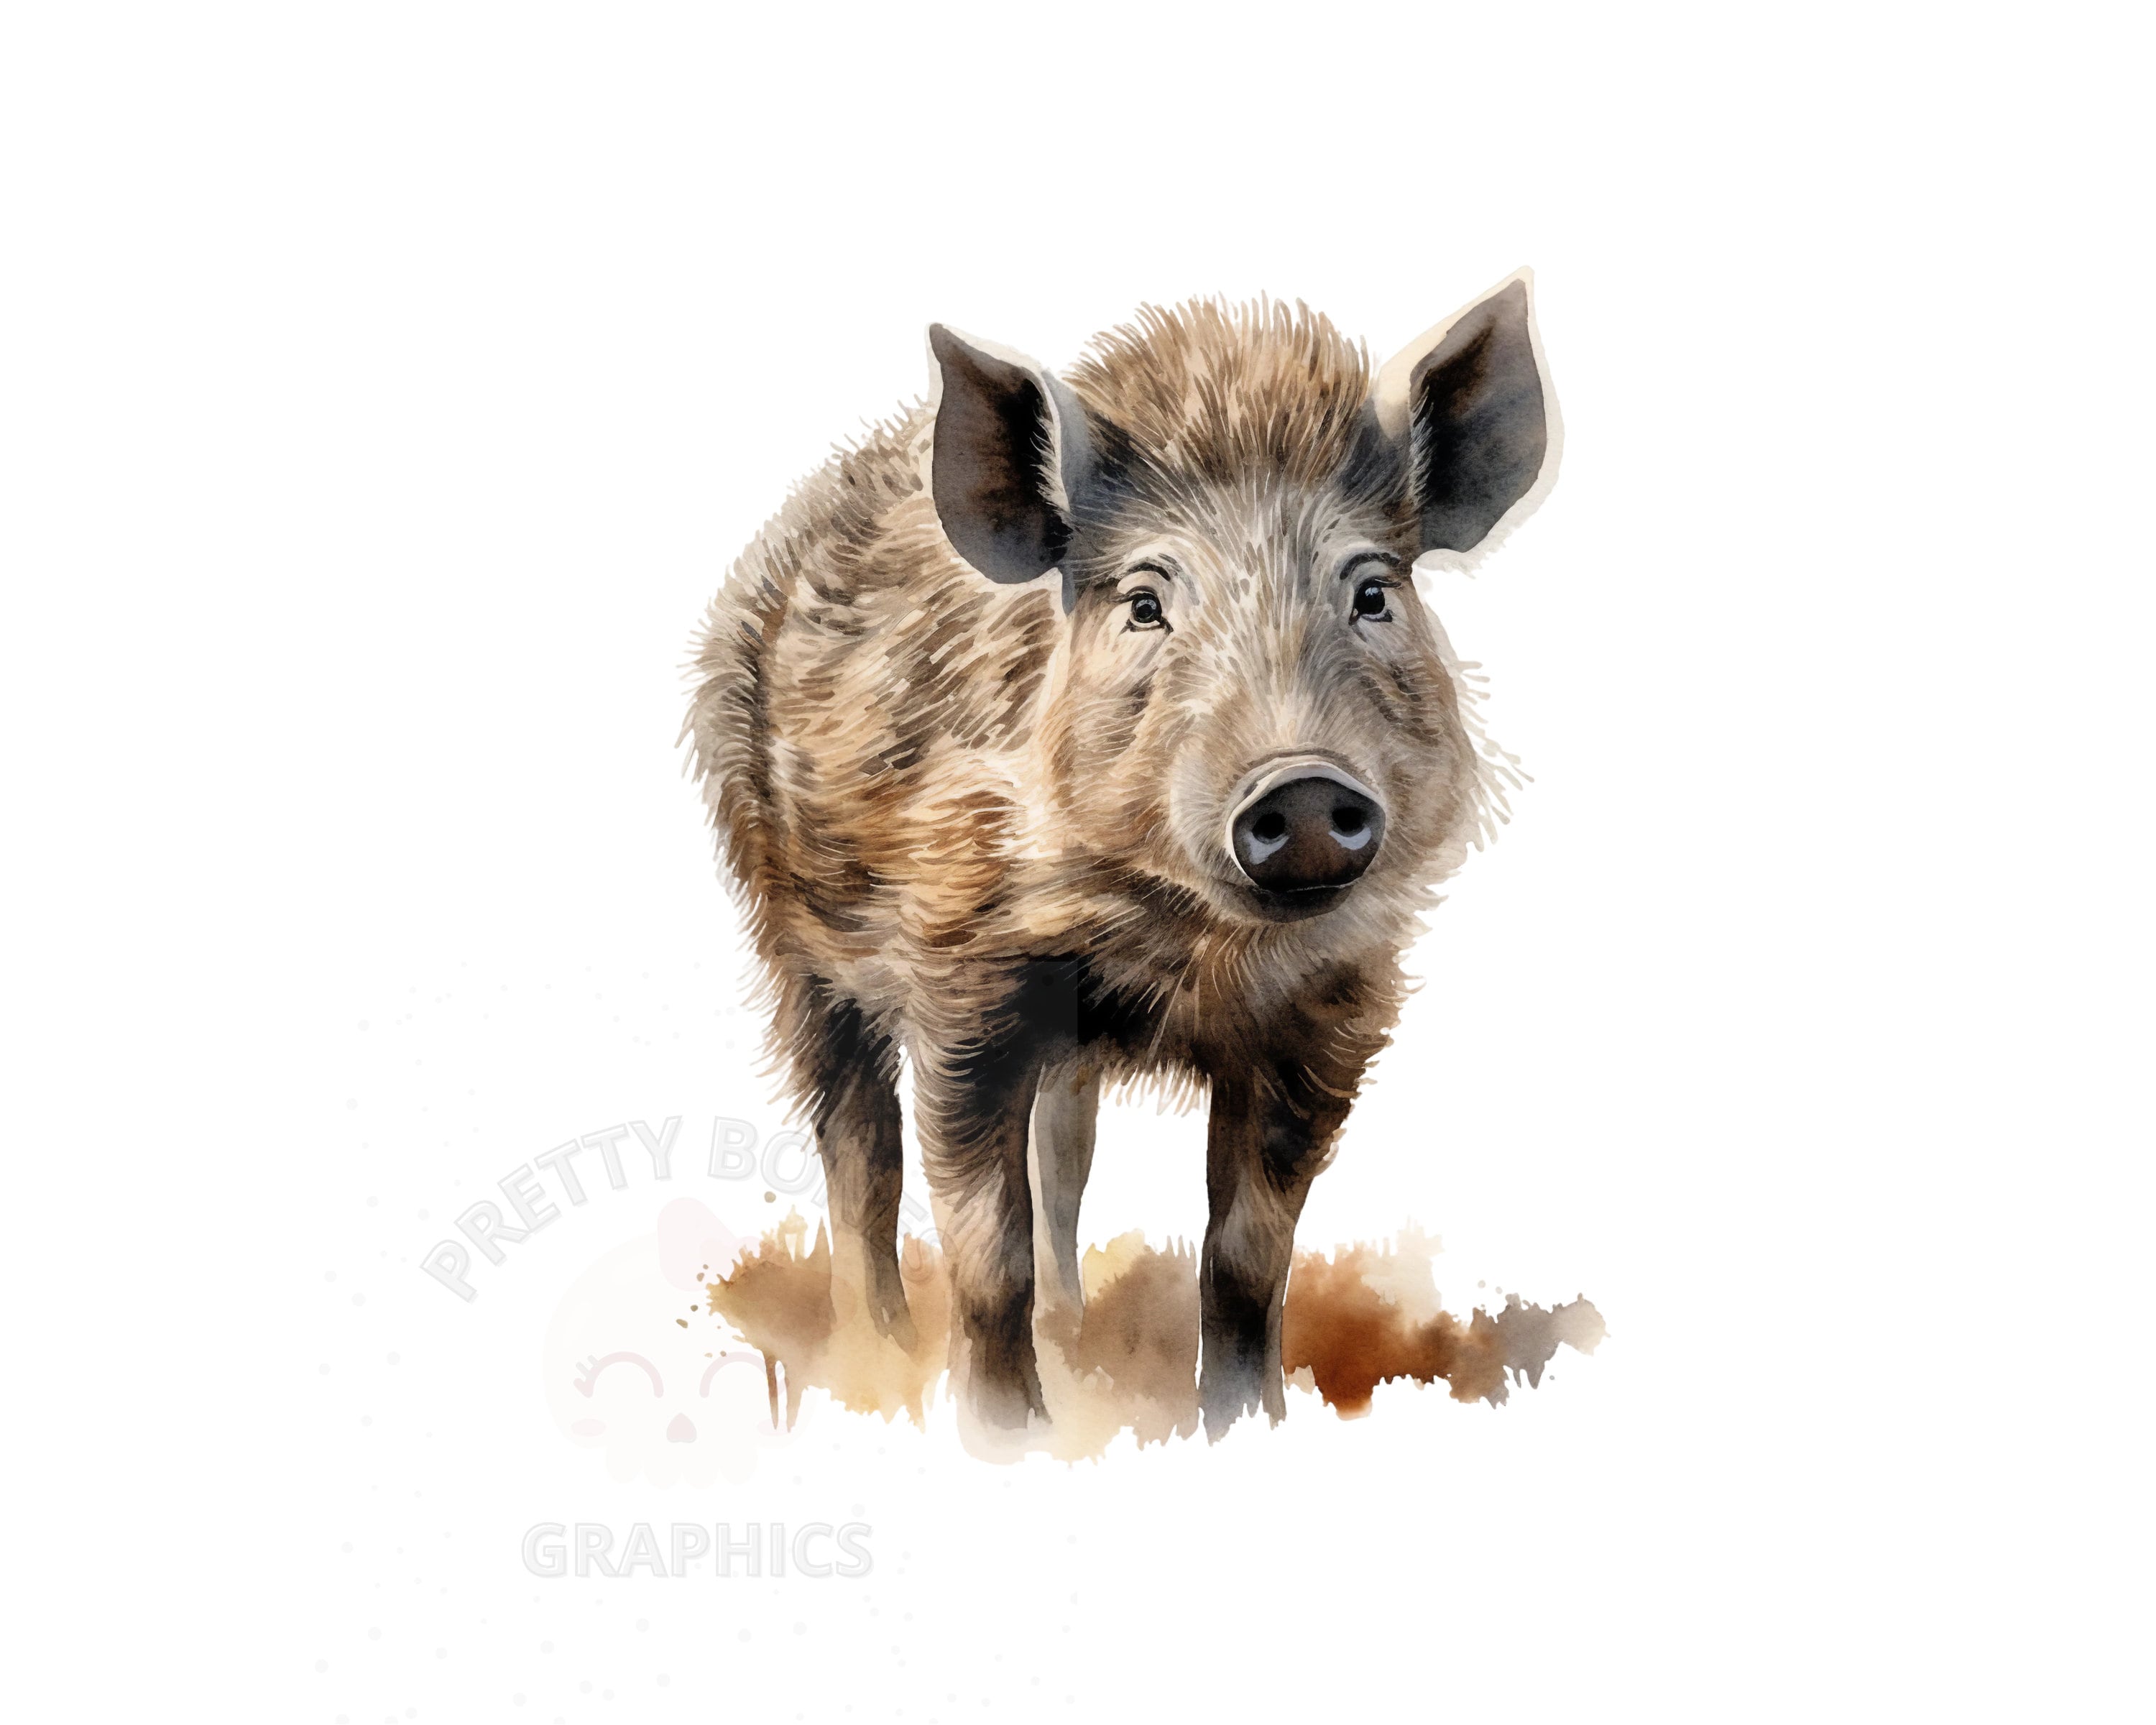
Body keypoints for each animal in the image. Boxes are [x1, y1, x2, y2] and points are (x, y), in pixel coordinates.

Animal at [685, 274, 1557, 1440]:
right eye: (1147, 603)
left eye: (1371, 593)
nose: (1302, 786)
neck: (1181, 949)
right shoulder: (962, 986)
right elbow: (982, 1243)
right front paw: (1007, 1438)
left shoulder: (1330, 1015)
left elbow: (1246, 1255)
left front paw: (1245, 1427)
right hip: (785, 929)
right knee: (856, 1146)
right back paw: (879, 1356)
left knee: (1065, 1149)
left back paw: (1075, 1326)